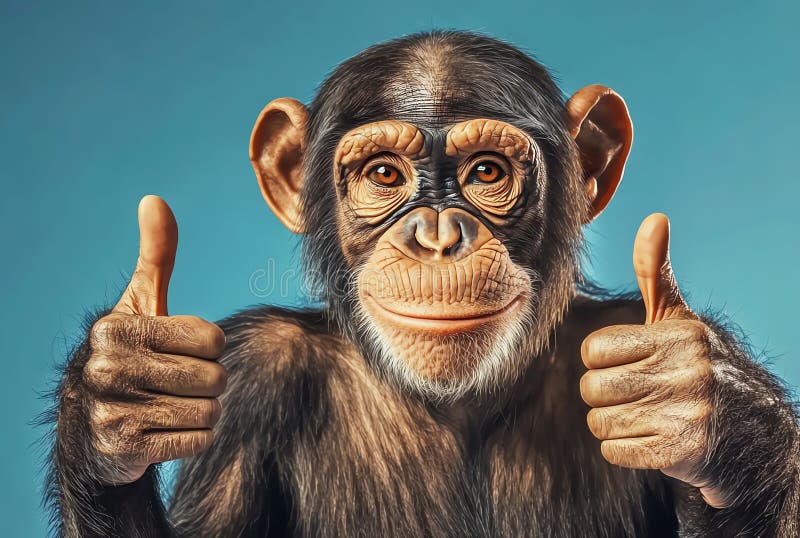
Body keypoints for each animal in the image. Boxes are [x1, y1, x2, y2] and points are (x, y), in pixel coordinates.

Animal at [43, 31, 799, 537]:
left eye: (488, 172)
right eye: (385, 174)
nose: (436, 237)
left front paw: (719, 413)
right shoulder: (253, 379)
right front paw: (118, 396)